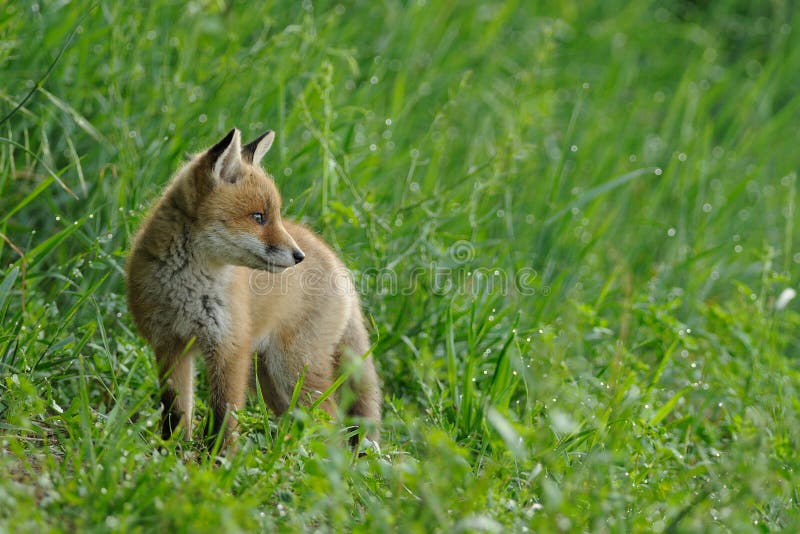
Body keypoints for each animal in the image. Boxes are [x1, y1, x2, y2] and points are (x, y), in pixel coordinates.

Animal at [126, 127, 381, 449]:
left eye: (275, 215)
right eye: (259, 217)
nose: (298, 256)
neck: (186, 288)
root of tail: (335, 259)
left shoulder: (229, 347)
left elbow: (224, 415)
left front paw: (219, 458)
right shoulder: (170, 346)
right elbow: (175, 414)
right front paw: (173, 453)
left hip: (292, 368)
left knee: (330, 424)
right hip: (266, 377)